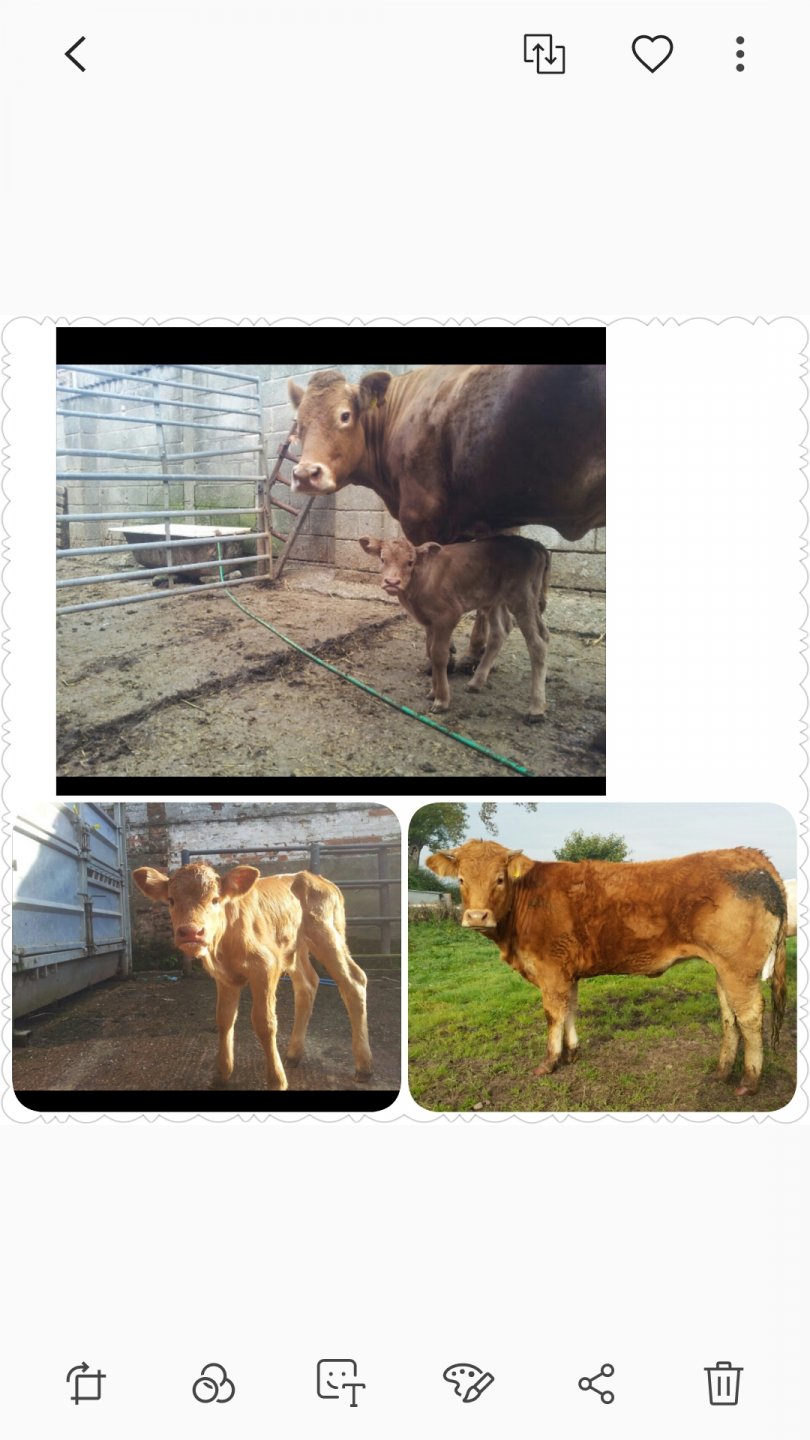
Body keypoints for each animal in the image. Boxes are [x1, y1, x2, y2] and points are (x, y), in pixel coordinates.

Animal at [132, 863, 372, 1090]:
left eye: (215, 899)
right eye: (171, 900)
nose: (191, 932)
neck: (224, 940)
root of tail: (316, 878)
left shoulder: (266, 966)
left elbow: (264, 1022)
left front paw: (276, 1080)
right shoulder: (224, 977)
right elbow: (224, 1019)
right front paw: (221, 1075)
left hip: (327, 935)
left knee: (354, 981)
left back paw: (363, 1066)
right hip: (294, 947)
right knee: (308, 983)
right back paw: (293, 1054)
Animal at [359, 533, 550, 720]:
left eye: (410, 562)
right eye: (383, 559)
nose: (392, 582)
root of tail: (532, 544)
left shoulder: (448, 616)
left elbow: (439, 655)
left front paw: (442, 700)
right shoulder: (429, 622)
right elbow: (430, 652)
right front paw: (433, 691)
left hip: (522, 597)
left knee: (537, 643)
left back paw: (536, 708)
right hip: (495, 599)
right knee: (502, 632)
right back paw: (476, 682)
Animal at [426, 840, 788, 1097]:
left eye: (499, 879)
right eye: (461, 879)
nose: (476, 916)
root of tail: (748, 854)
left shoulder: (550, 970)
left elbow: (553, 1015)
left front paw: (549, 1063)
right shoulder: (566, 972)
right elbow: (570, 1010)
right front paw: (572, 1053)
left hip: (739, 968)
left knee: (750, 1015)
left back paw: (749, 1082)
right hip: (723, 968)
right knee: (730, 1015)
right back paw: (722, 1072)